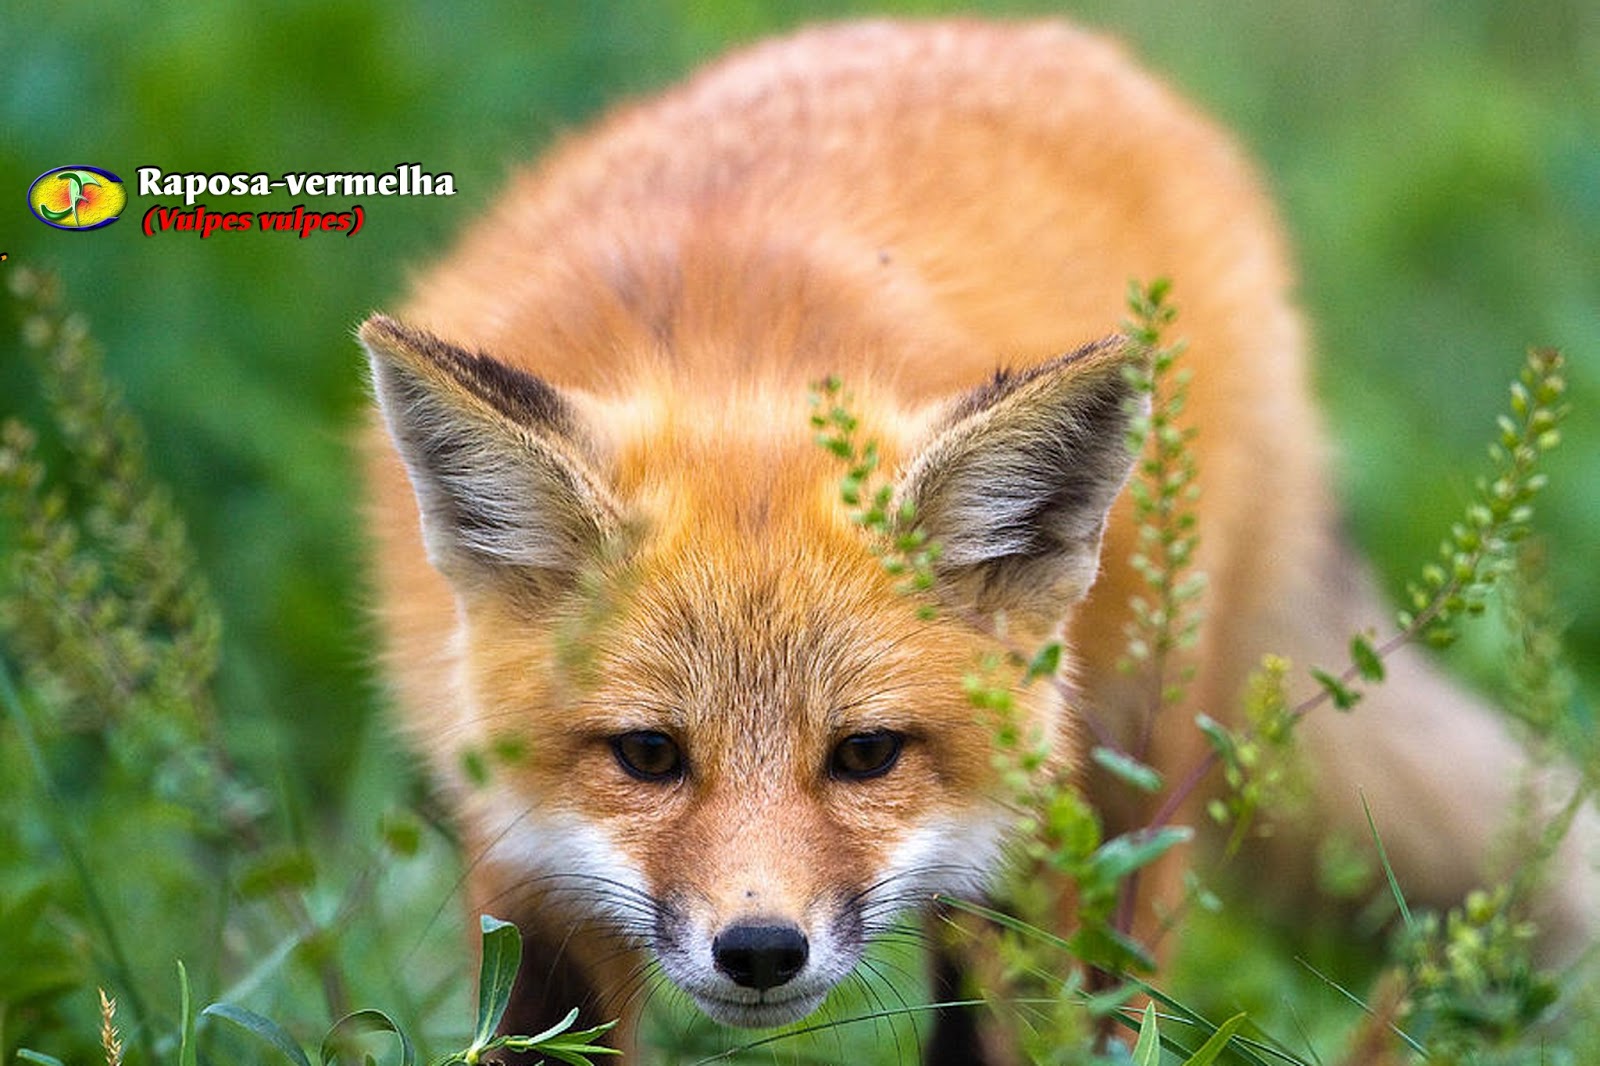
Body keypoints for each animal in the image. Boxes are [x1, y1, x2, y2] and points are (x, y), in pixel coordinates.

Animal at [358, 17, 1597, 1062]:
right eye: (649, 755)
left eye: (866, 753)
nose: (759, 949)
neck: (731, 360)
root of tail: (1035, 36)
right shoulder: (524, 876)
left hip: (1112, 793)